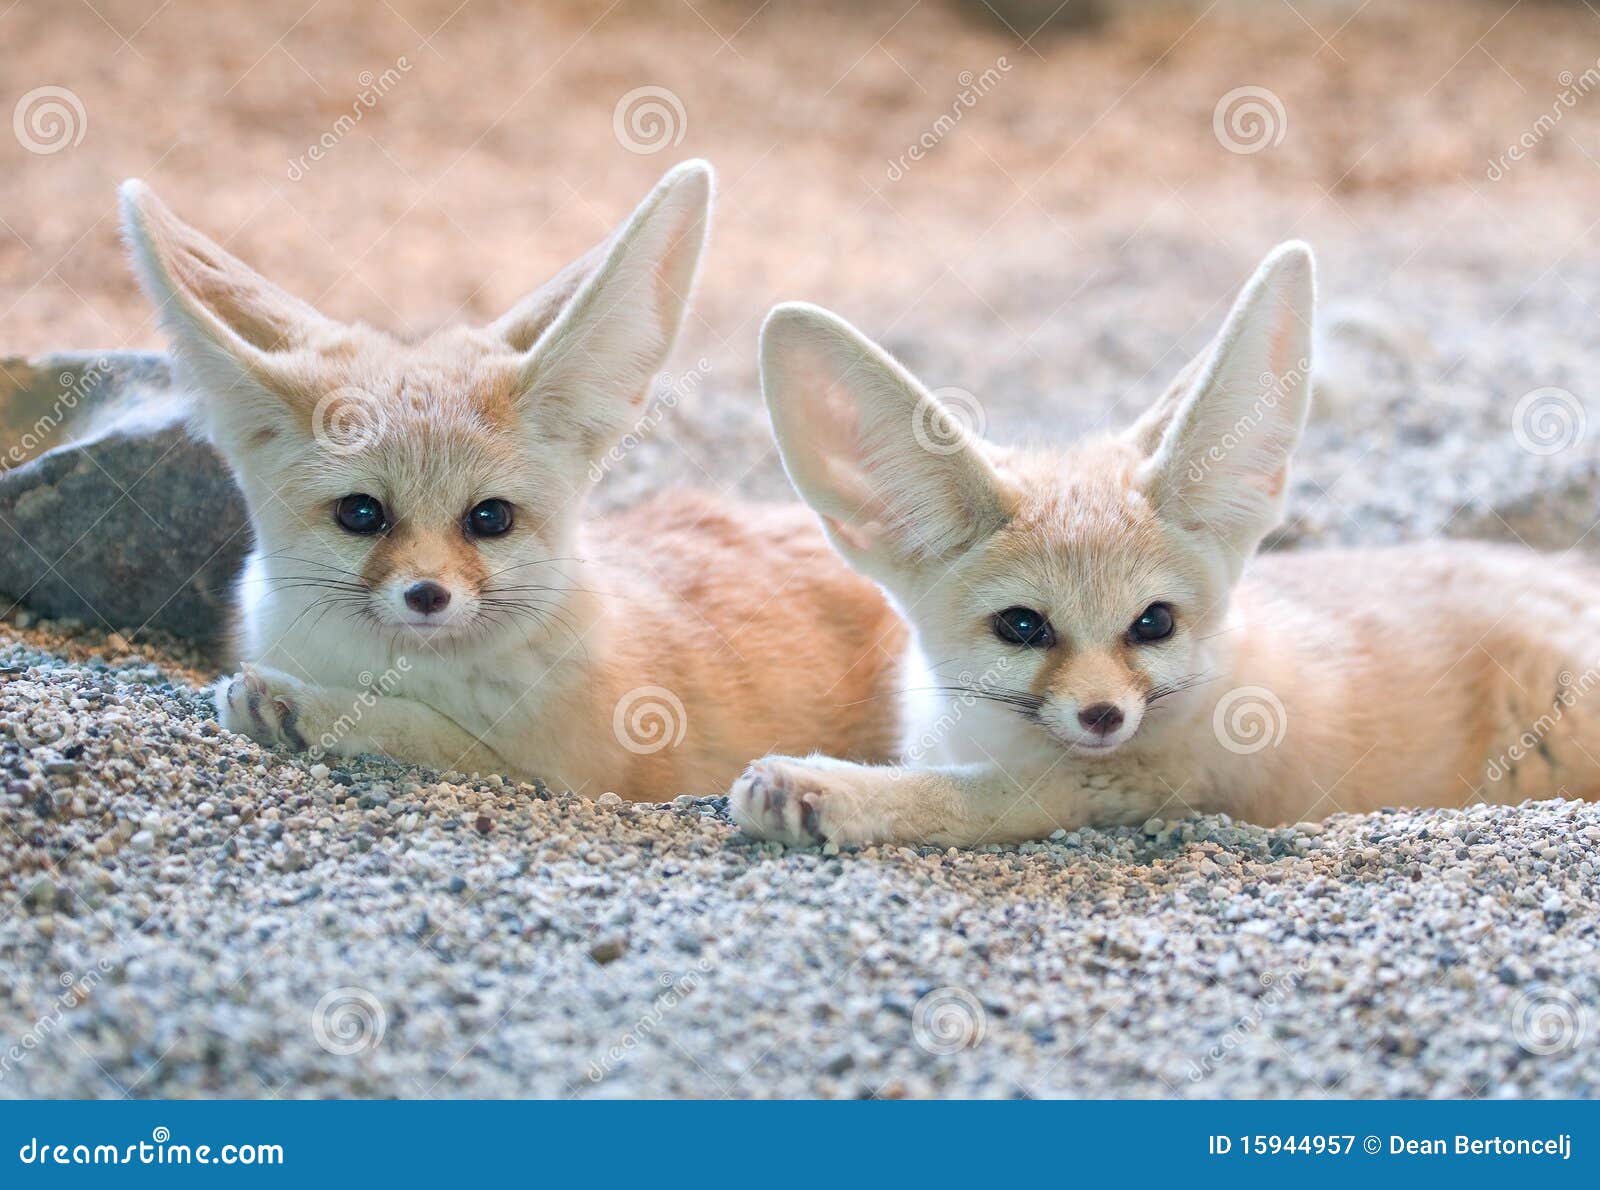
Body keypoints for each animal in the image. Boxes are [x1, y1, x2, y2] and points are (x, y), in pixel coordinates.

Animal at [118, 161, 906, 799]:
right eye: (362, 514)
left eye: (490, 518)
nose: (427, 595)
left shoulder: (569, 774)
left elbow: (428, 733)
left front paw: (301, 706)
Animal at [731, 242, 1600, 847]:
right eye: (1022, 626)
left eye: (1153, 623)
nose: (1104, 716)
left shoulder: (1130, 790)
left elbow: (970, 797)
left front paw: (824, 790)